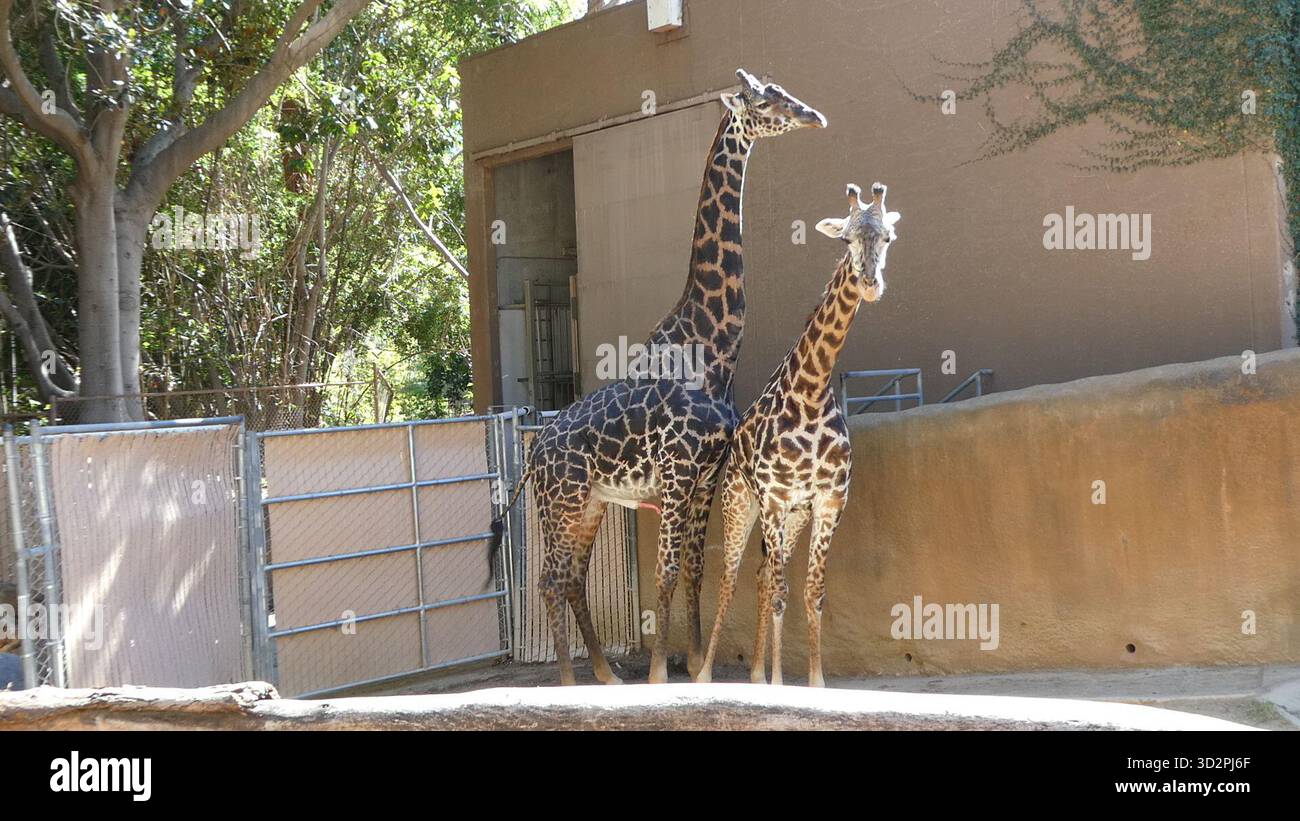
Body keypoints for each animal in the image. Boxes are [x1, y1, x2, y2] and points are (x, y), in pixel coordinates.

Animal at [493, 69, 826, 686]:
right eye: (765, 99)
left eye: (783, 90)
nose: (813, 115)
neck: (714, 349)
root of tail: (533, 452)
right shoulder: (676, 474)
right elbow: (667, 572)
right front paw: (659, 676)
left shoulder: (704, 477)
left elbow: (694, 568)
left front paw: (695, 664)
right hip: (563, 503)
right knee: (551, 578)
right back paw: (571, 682)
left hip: (590, 506)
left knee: (572, 578)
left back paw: (605, 674)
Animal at [695, 182, 901, 687]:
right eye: (845, 239)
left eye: (887, 237)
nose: (870, 283)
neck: (811, 390)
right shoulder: (773, 499)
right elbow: (783, 592)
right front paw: (780, 685)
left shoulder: (828, 502)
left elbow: (812, 591)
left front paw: (813, 683)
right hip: (740, 505)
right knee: (733, 578)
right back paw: (707, 674)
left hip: (794, 518)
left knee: (762, 574)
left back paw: (755, 675)